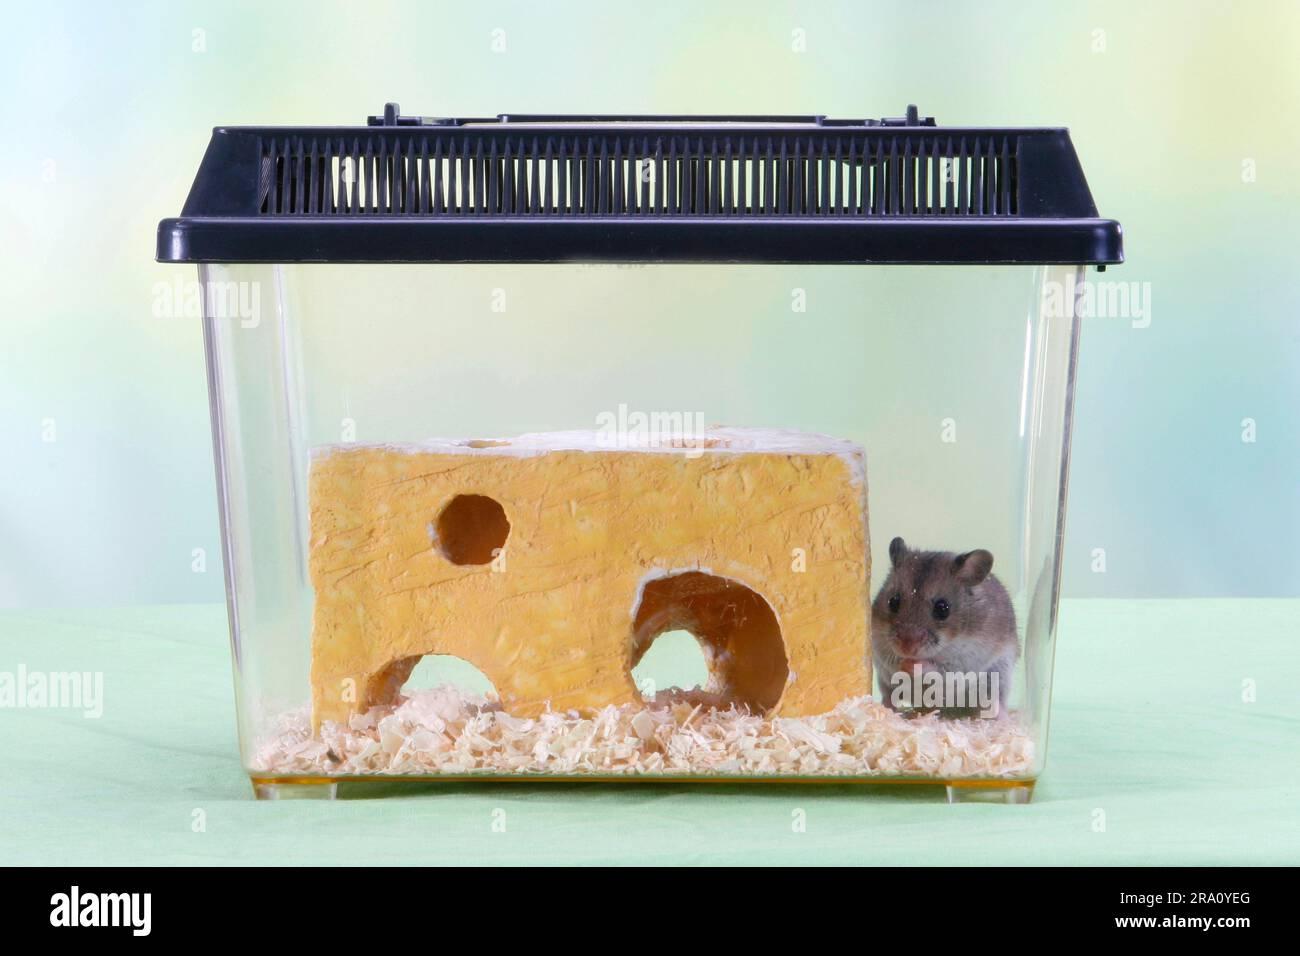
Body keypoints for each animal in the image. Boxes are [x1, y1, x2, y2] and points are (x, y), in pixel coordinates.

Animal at [870, 536, 1019, 718]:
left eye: (942, 608)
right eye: (893, 602)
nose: (907, 648)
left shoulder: (963, 662)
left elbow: (937, 670)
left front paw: (912, 664)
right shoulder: (879, 648)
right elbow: (893, 662)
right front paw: (904, 663)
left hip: (998, 677)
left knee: (995, 701)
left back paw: (1001, 716)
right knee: (889, 696)